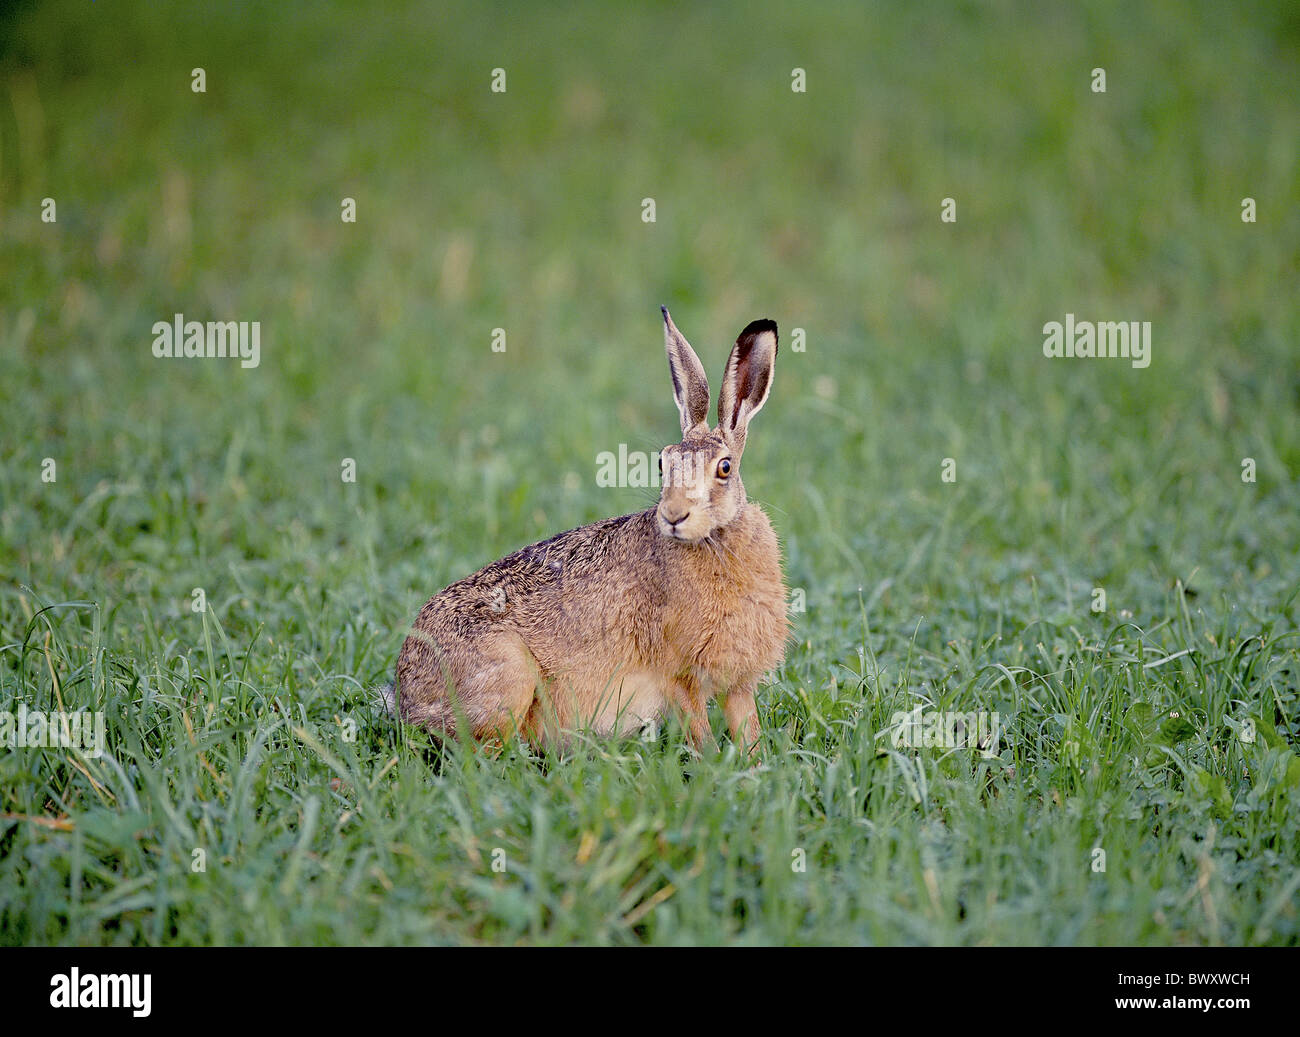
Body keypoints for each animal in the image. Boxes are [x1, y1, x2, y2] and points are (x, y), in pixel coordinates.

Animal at [392, 306, 788, 755]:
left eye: (724, 468)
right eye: (662, 464)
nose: (673, 515)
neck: (717, 539)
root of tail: (406, 697)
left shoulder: (738, 684)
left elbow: (747, 730)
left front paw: (754, 764)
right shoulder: (679, 676)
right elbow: (700, 732)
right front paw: (711, 764)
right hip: (509, 677)